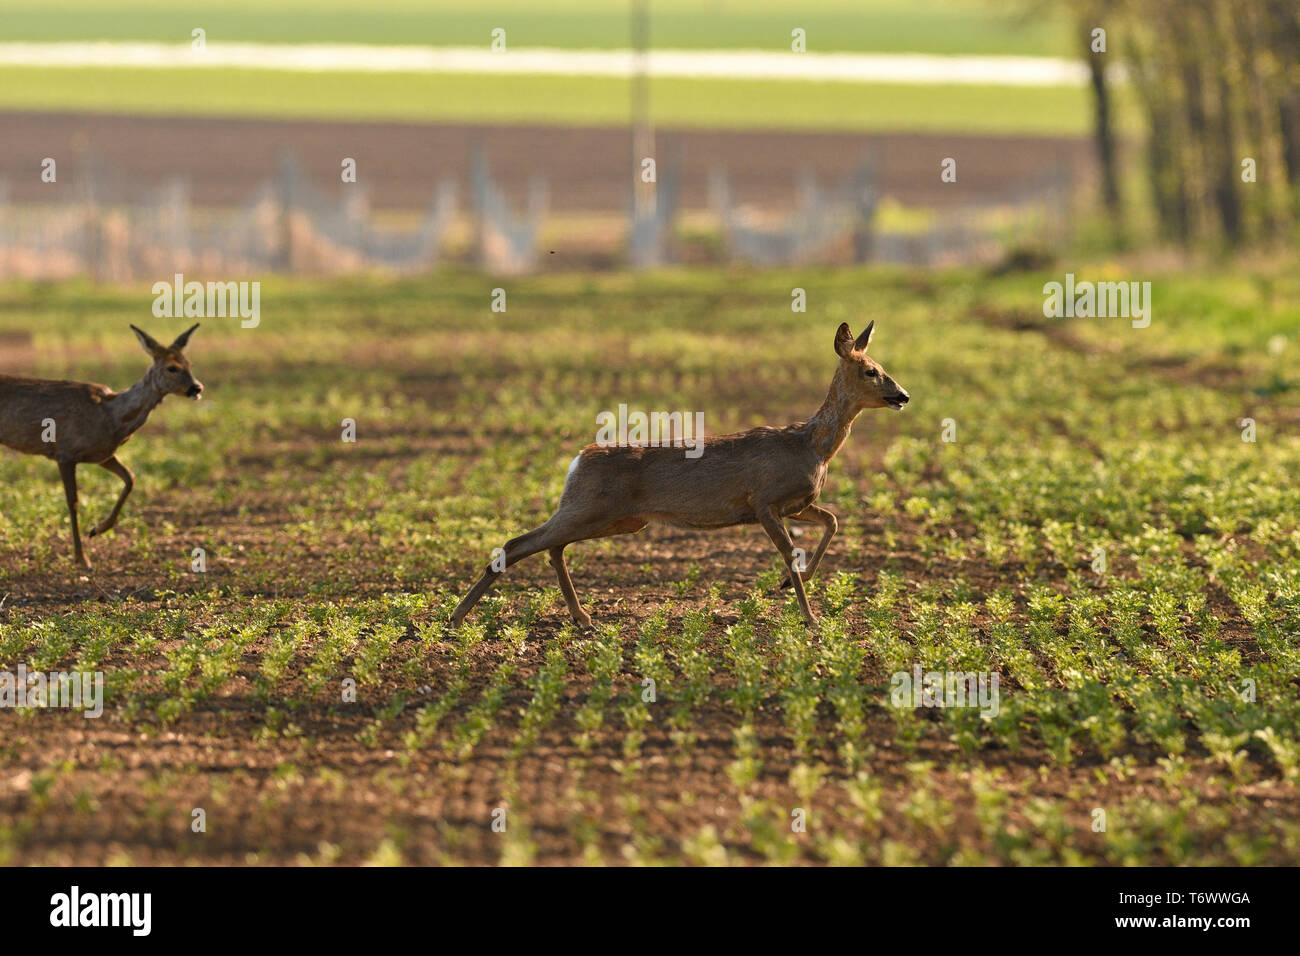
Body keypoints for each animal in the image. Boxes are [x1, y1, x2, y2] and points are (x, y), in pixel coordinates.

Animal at [0, 323, 204, 569]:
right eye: (172, 368)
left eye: (189, 364)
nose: (197, 388)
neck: (111, 415)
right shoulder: (65, 452)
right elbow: (73, 501)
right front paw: (82, 558)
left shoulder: (102, 455)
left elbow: (130, 478)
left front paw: (97, 529)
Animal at [450, 321, 909, 629]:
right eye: (871, 370)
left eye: (883, 366)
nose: (902, 395)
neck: (812, 444)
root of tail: (577, 459)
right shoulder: (763, 501)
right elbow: (790, 553)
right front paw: (810, 618)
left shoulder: (797, 504)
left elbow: (832, 521)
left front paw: (787, 588)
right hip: (591, 506)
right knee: (520, 542)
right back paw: (456, 617)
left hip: (620, 519)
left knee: (552, 546)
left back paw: (582, 617)